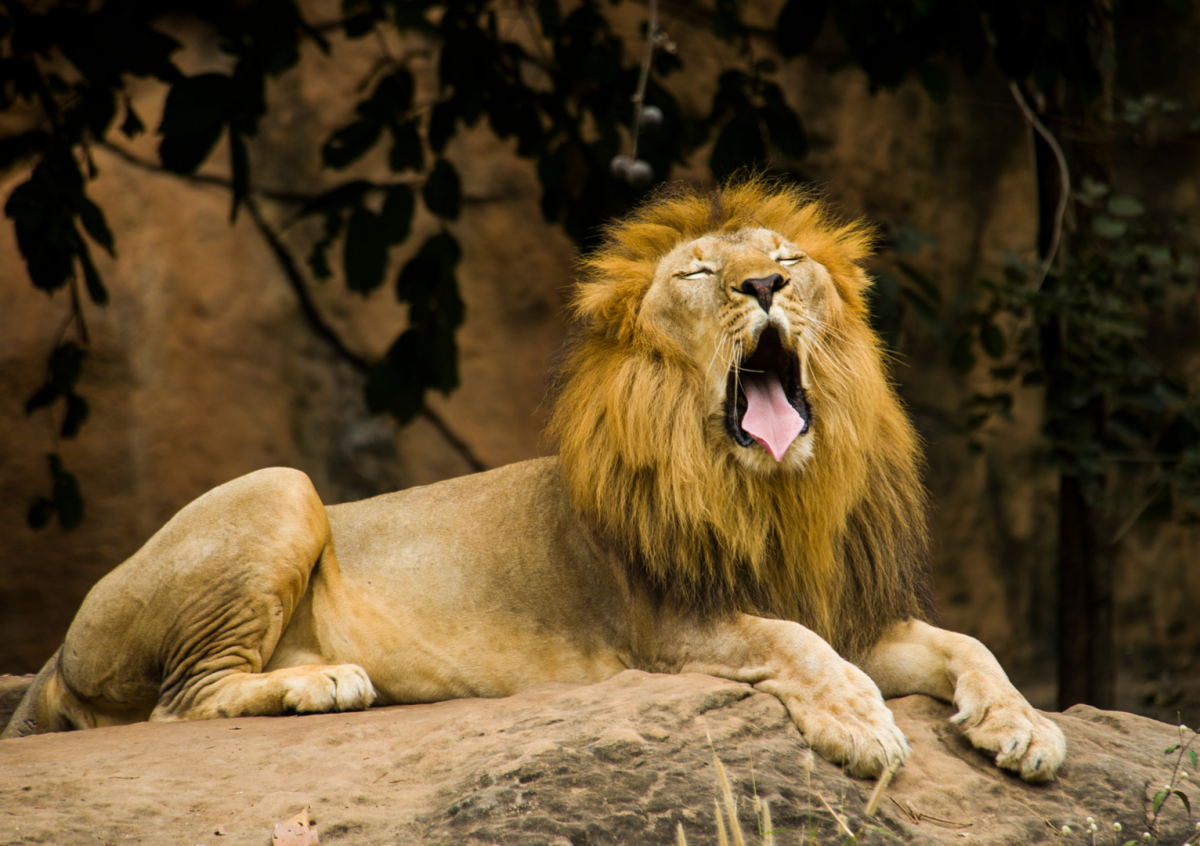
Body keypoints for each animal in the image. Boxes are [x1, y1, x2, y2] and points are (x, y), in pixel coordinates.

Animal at [2, 178, 1065, 782]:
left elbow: (968, 645)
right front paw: (861, 725)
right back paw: (323, 681)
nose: (762, 287)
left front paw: (1024, 728)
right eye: (701, 273)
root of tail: (50, 661)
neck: (771, 492)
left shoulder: (853, 607)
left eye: (788, 259)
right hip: (281, 486)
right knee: (183, 700)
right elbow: (795, 644)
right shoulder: (671, 626)